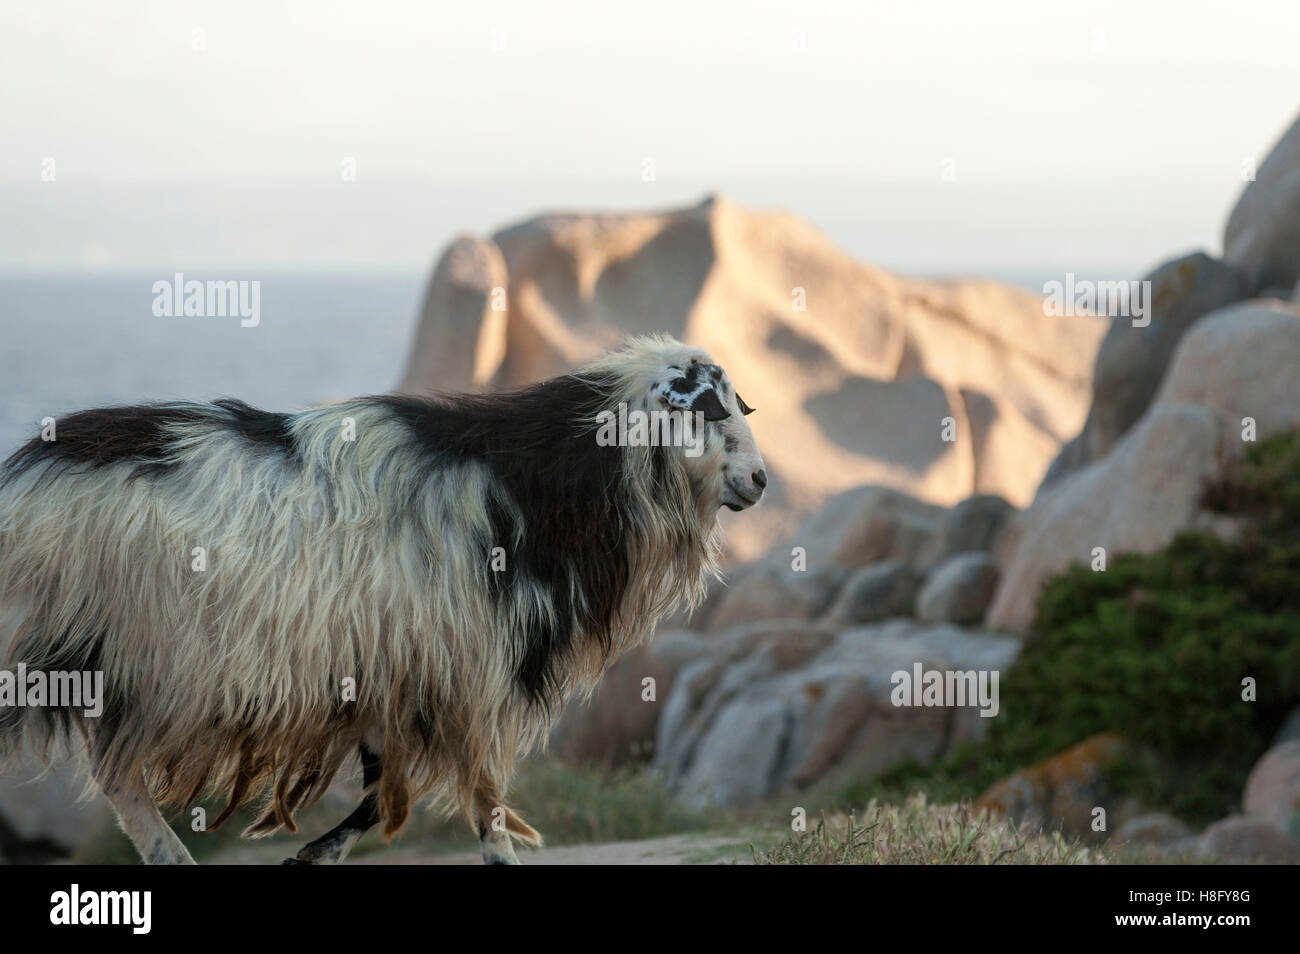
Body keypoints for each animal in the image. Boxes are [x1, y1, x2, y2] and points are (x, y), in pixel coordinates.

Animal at [0, 334, 766, 864]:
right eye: (707, 408)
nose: (760, 479)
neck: (532, 487)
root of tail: (24, 473)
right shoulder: (464, 674)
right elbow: (484, 808)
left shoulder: (392, 673)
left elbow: (376, 802)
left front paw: (309, 857)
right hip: (103, 656)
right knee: (120, 780)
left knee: (119, 780)